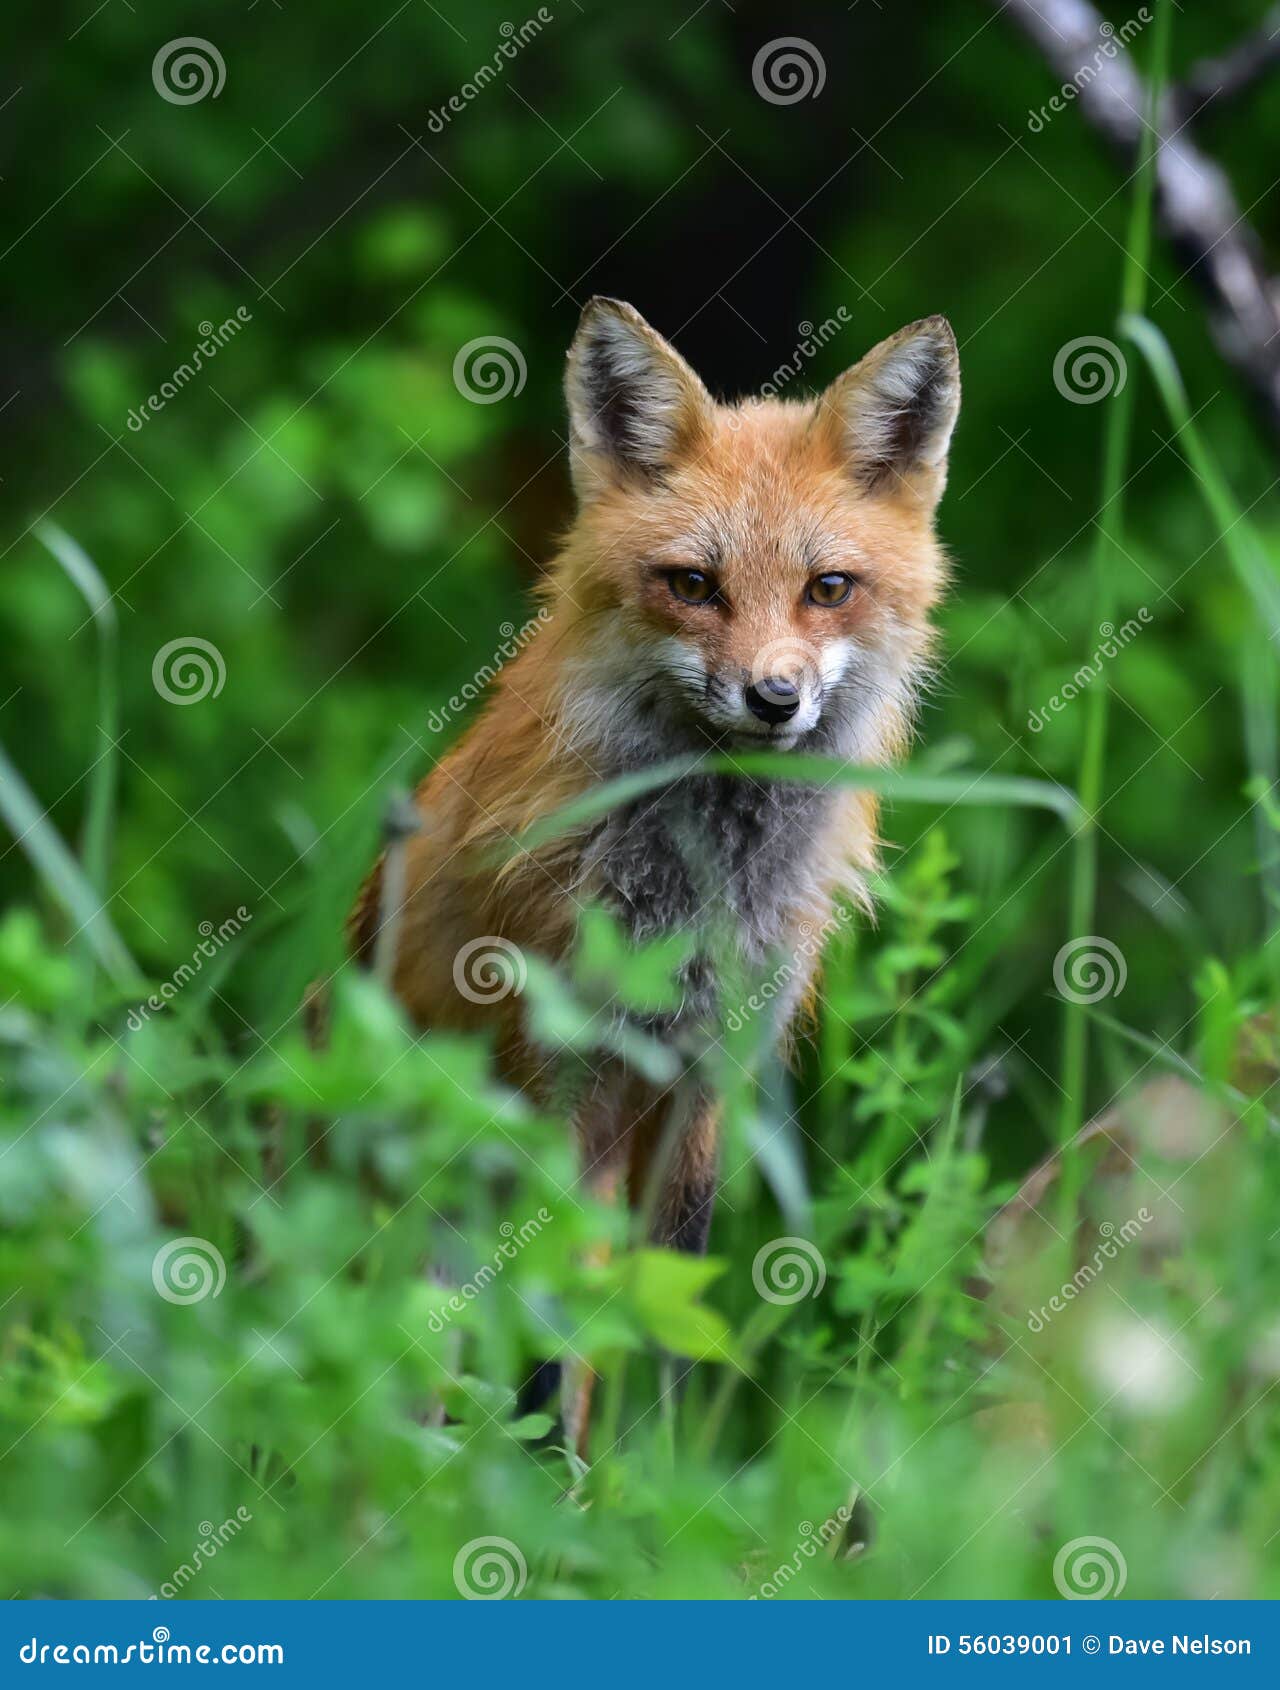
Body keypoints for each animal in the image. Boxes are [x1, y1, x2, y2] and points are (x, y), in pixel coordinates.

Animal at [349, 297, 959, 1444]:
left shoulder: (708, 1080)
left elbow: (670, 1310)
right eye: (692, 585)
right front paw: (551, 1475)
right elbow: (550, 1331)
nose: (773, 698)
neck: (696, 898)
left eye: (827, 589)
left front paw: (665, 1470)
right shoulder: (557, 1078)